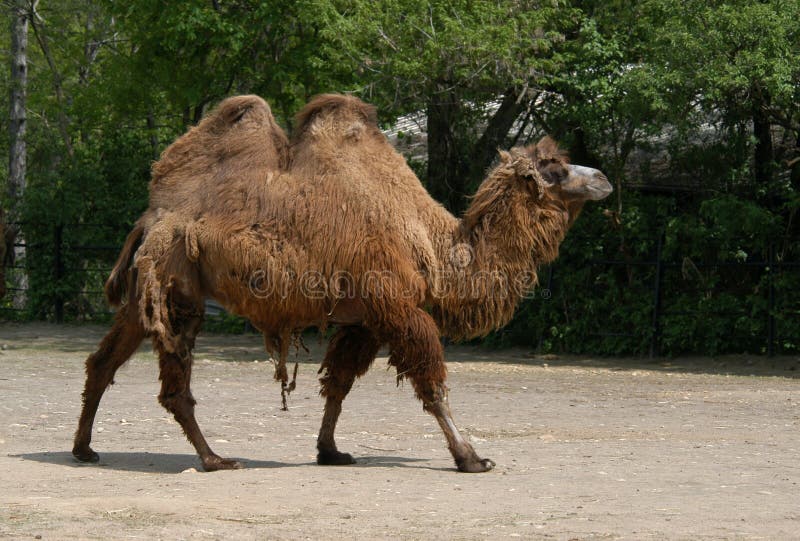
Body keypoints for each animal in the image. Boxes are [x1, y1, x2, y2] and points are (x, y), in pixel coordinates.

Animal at [73, 94, 612, 473]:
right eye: (555, 168)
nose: (605, 178)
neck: (437, 250)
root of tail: (152, 217)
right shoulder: (397, 304)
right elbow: (432, 382)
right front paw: (471, 457)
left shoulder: (364, 319)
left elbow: (338, 383)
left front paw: (329, 450)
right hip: (177, 282)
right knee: (174, 379)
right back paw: (213, 458)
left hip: (148, 290)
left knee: (104, 361)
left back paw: (84, 448)